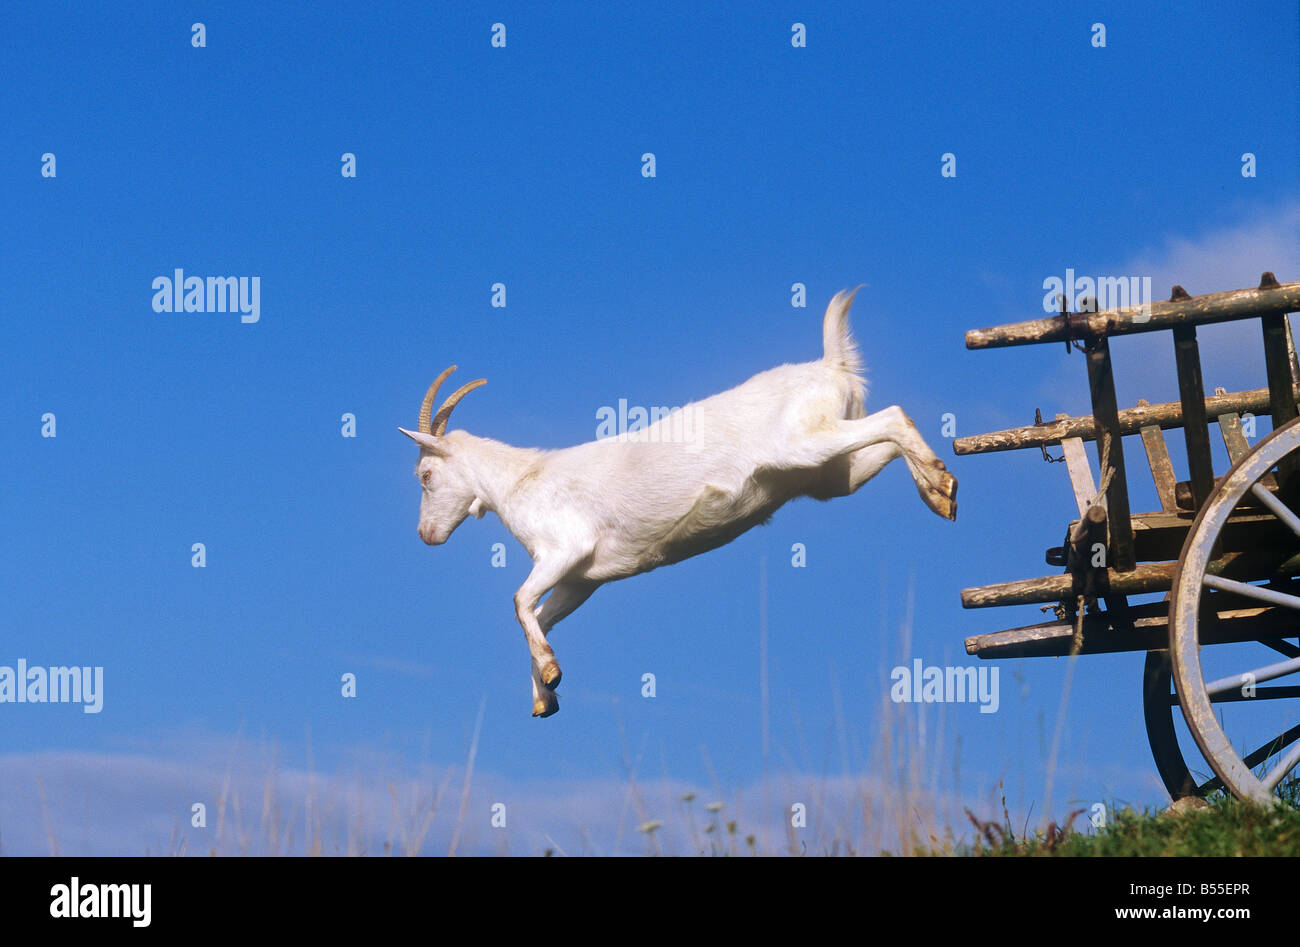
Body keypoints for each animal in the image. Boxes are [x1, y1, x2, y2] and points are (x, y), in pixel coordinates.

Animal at [399, 289, 957, 717]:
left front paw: (551, 676)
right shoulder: (583, 579)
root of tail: (831, 366)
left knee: (894, 415)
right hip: (829, 474)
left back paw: (944, 491)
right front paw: (545, 696)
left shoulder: (564, 550)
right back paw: (938, 491)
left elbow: (518, 602)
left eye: (425, 475)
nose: (426, 535)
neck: (522, 479)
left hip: (806, 442)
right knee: (887, 436)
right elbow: (543, 615)